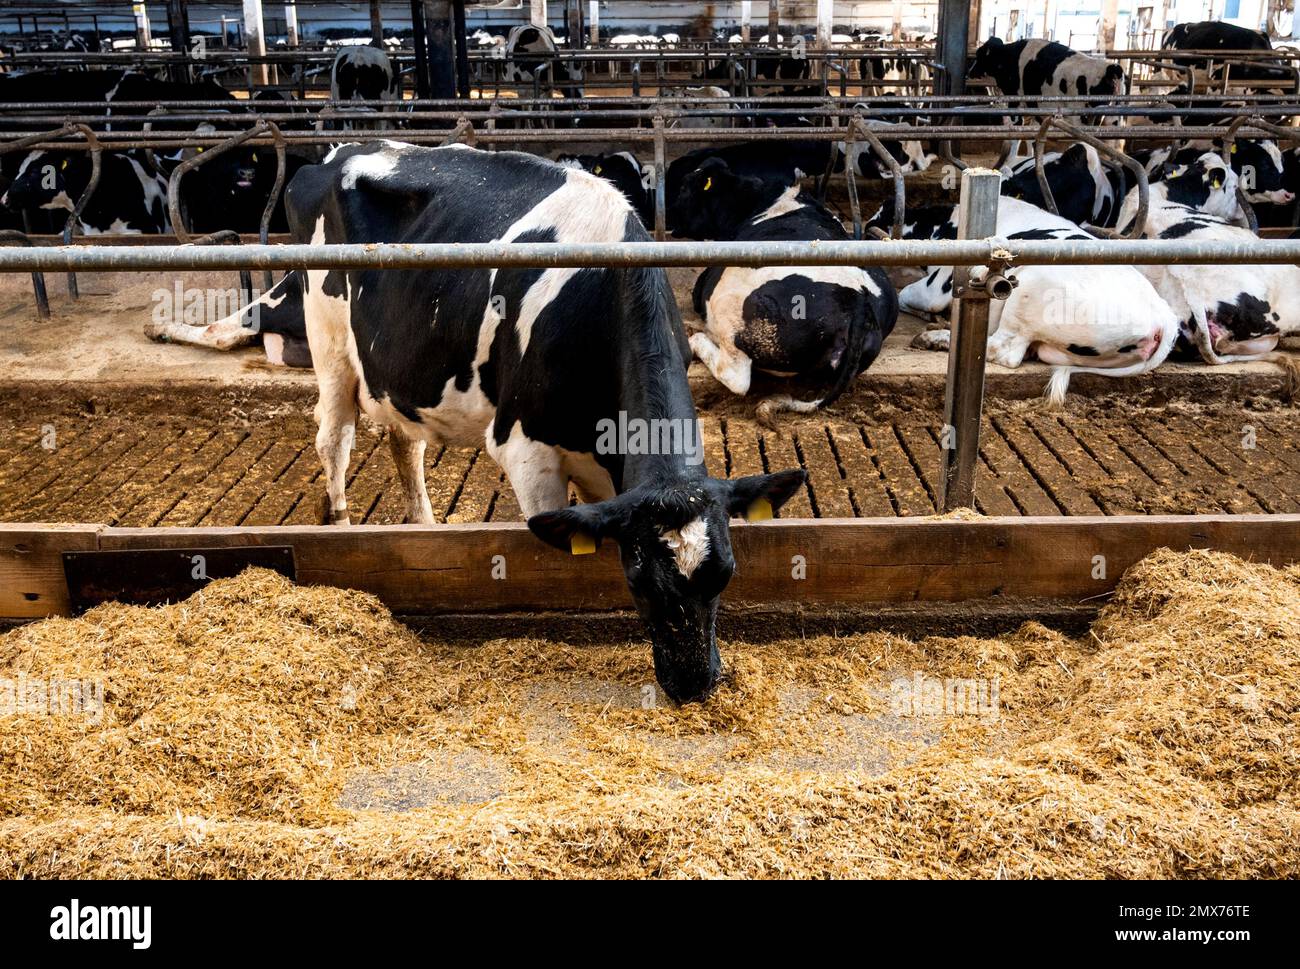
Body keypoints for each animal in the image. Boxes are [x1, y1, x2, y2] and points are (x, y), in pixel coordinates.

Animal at [157, 142, 808, 704]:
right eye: (638, 580)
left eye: (726, 576)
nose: (695, 684)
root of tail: (341, 152)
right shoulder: (526, 450)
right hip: (329, 337)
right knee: (334, 438)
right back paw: (340, 519)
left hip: (400, 370)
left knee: (404, 444)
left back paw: (423, 529)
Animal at [875, 196, 1178, 404]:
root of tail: (1164, 319)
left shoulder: (941, 283)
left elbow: (908, 294)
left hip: (1029, 293)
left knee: (1003, 351)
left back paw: (932, 337)